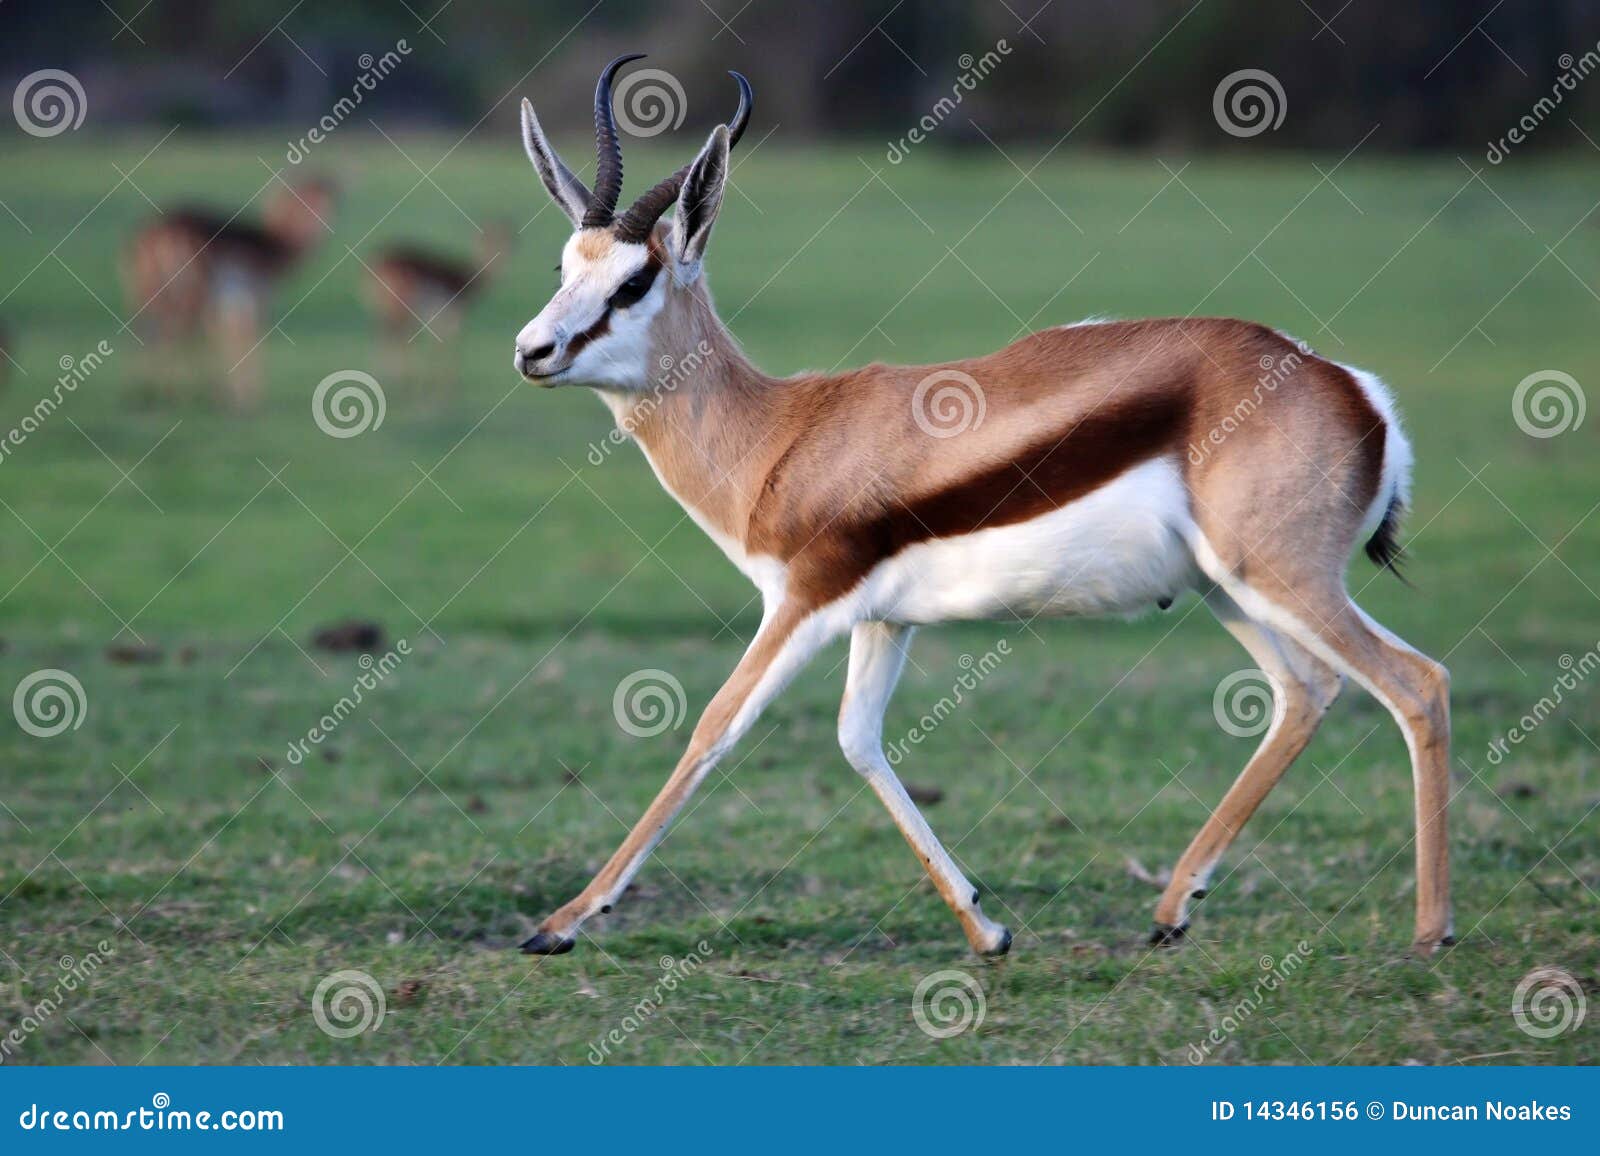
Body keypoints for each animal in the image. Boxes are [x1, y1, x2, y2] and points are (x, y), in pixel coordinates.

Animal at [123, 178, 336, 405]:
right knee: (178, 328)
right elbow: (245, 333)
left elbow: (228, 332)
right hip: (193, 285)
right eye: (309, 194)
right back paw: (178, 392)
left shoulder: (231, 298)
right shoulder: (255, 294)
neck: (275, 248)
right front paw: (247, 397)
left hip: (145, 285)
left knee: (148, 326)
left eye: (329, 192)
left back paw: (146, 391)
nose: (323, 214)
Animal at [510, 56, 1452, 959]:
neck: (781, 436)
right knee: (1306, 691)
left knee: (1417, 683)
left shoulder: (803, 602)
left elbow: (712, 731)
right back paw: (1172, 910)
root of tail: (1350, 388)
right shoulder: (881, 619)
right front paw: (987, 930)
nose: (532, 350)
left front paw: (561, 923)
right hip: (1228, 587)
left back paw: (1429, 932)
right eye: (565, 267)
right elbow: (857, 741)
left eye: (635, 282)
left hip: (1277, 577)